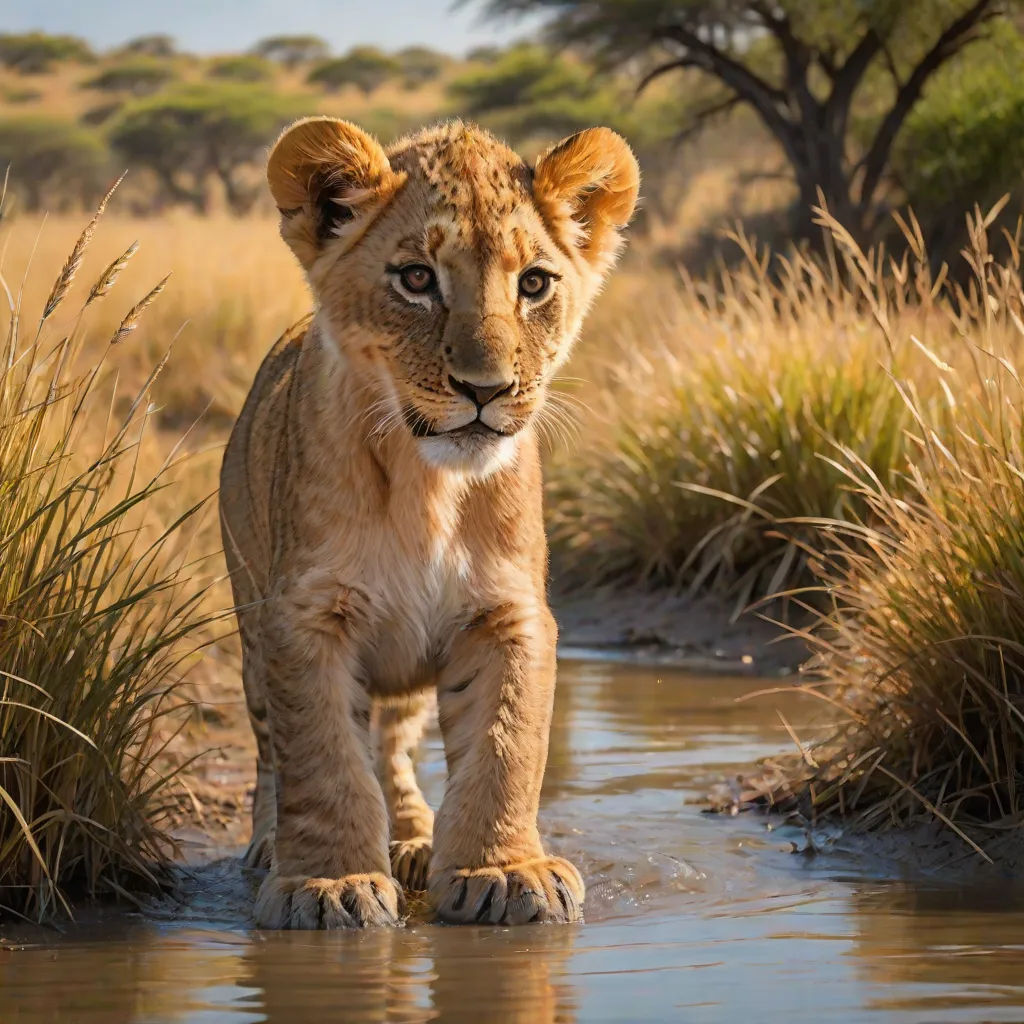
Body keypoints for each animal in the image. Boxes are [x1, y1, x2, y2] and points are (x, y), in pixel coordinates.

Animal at [219, 116, 639, 929]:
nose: (487, 389)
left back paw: (412, 839)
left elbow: (505, 748)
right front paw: (329, 883)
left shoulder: (508, 614)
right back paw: (271, 844)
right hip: (251, 618)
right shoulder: (304, 613)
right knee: (270, 745)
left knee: (391, 750)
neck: (428, 487)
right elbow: (320, 756)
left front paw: (505, 871)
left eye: (533, 283)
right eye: (416, 279)